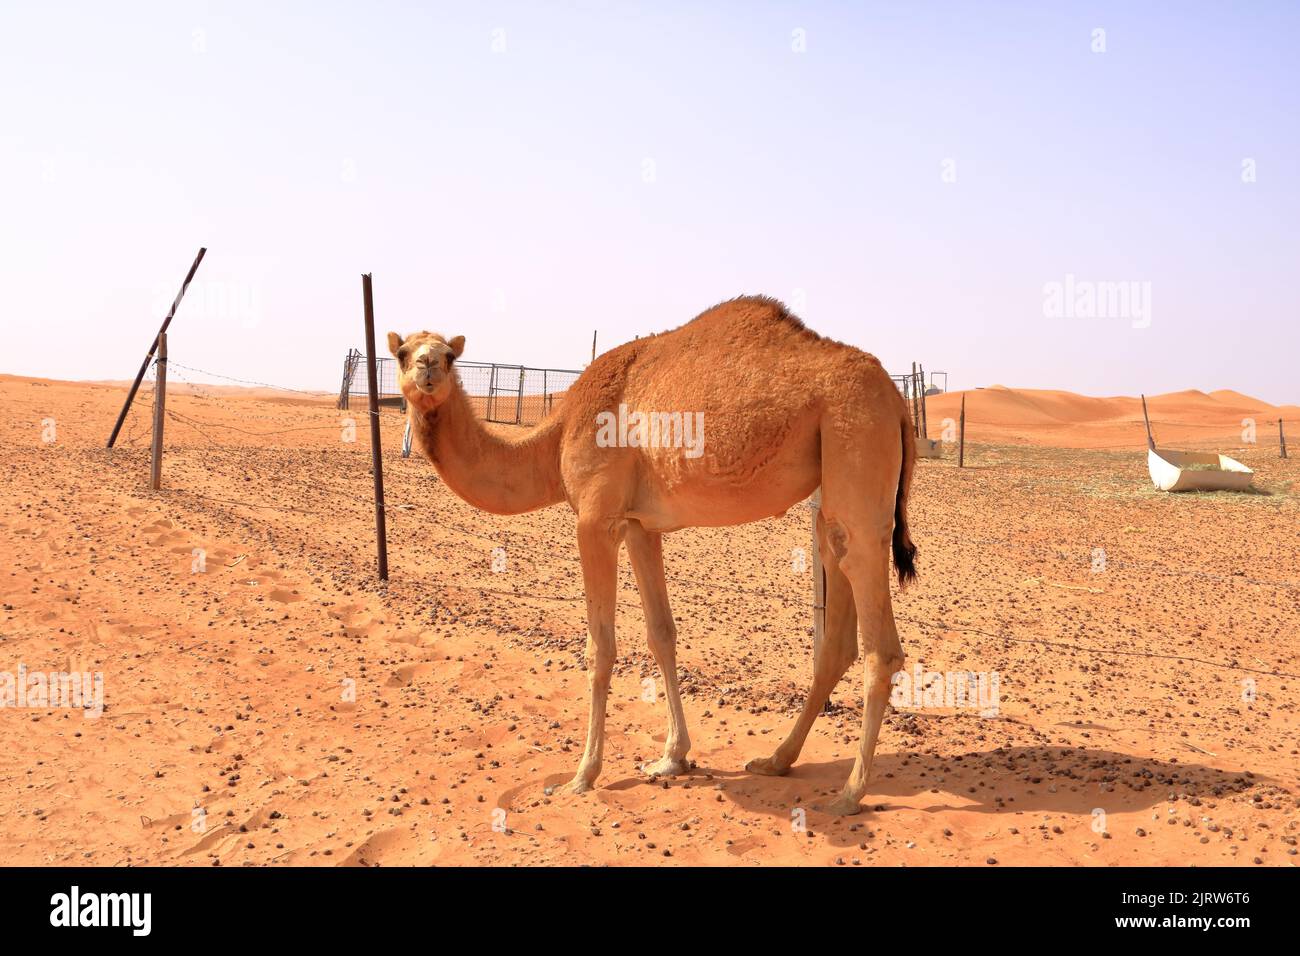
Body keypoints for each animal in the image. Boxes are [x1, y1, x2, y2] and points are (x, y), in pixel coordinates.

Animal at [389, 295, 917, 815]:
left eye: (449, 354)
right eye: (403, 352)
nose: (428, 367)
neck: (555, 438)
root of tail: (897, 401)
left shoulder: (595, 518)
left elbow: (600, 648)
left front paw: (582, 776)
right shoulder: (640, 525)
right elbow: (661, 633)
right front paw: (671, 757)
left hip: (856, 441)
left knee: (881, 642)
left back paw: (850, 792)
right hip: (832, 493)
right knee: (837, 615)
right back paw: (775, 760)